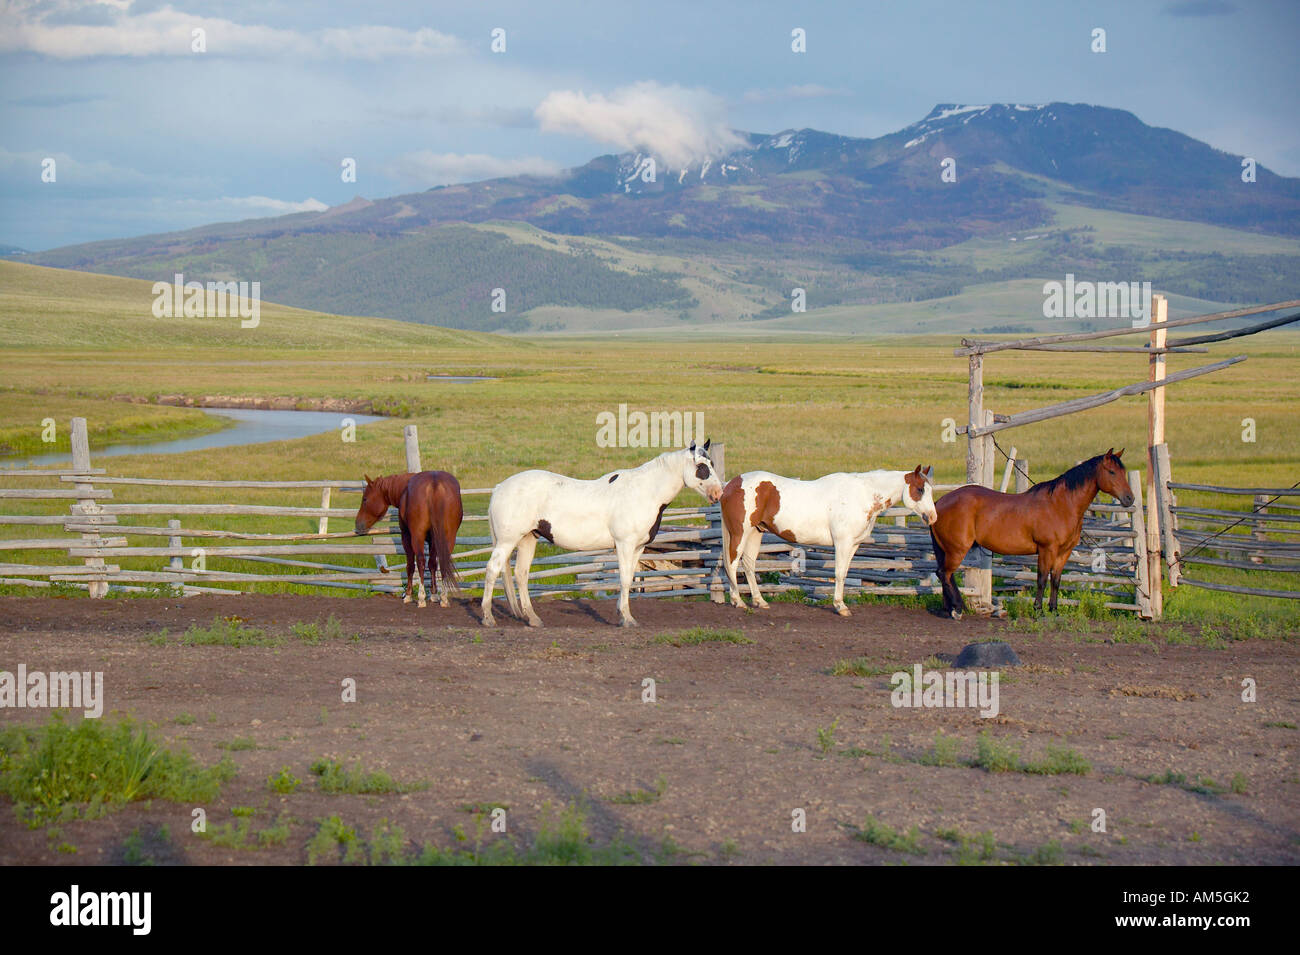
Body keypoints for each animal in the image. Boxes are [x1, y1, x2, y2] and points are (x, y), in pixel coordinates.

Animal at [353, 471, 463, 608]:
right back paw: (443, 598)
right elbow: (432, 564)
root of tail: (435, 482)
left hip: (417, 536)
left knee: (420, 561)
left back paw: (421, 598)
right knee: (443, 561)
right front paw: (434, 595)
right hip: (449, 537)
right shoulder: (433, 539)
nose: (357, 524)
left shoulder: (406, 536)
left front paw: (409, 595)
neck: (404, 489)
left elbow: (410, 565)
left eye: (365, 499)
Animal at [481, 441, 724, 628]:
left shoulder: (638, 547)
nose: (718, 493)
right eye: (701, 467)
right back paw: (488, 618)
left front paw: (623, 614)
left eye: (712, 464)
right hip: (507, 541)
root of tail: (499, 487)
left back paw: (532, 618)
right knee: (493, 569)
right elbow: (624, 579)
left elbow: (629, 579)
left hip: (527, 540)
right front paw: (627, 619)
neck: (644, 492)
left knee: (521, 575)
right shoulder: (624, 544)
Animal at [720, 465, 938, 616]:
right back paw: (737, 600)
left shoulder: (853, 545)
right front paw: (840, 607)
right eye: (920, 489)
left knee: (749, 565)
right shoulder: (842, 543)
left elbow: (844, 573)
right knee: (732, 563)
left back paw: (759, 601)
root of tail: (731, 484)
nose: (932, 517)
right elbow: (839, 573)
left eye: (930, 490)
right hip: (740, 533)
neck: (862, 494)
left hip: (756, 533)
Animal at [929, 449, 1134, 619]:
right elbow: (1042, 579)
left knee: (946, 575)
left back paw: (950, 608)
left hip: (948, 550)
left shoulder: (1063, 552)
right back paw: (957, 609)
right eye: (1112, 472)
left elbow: (1056, 580)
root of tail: (939, 503)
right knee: (945, 574)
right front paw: (1038, 610)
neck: (1062, 504)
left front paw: (1054, 610)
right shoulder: (1047, 549)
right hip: (957, 549)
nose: (1129, 499)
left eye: (1124, 472)